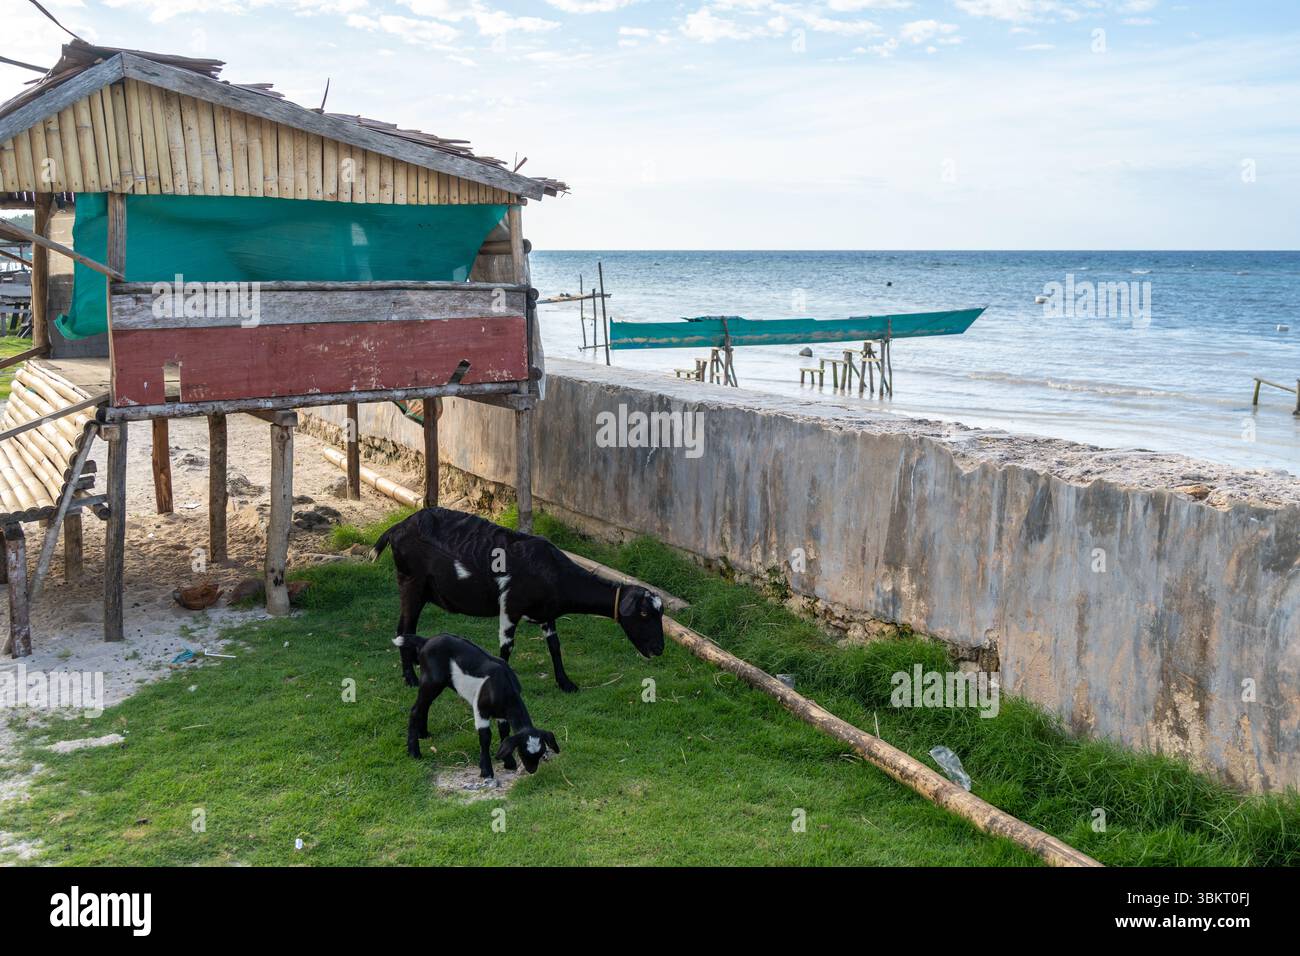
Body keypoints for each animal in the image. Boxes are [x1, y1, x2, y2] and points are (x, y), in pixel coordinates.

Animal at [371, 508, 665, 693]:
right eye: (643, 614)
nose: (659, 649)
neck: (555, 573)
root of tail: (397, 527)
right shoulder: (509, 607)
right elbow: (505, 650)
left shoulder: (547, 613)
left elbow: (555, 646)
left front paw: (566, 683)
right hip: (411, 583)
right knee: (403, 627)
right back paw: (410, 678)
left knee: (407, 627)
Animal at [397, 633, 559, 783]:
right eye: (523, 752)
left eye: (541, 752)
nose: (532, 770)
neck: (503, 687)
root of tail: (426, 641)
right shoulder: (481, 710)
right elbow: (485, 737)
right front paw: (486, 771)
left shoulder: (502, 714)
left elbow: (504, 733)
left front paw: (509, 763)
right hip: (431, 681)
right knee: (415, 710)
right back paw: (414, 753)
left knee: (425, 707)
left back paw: (423, 734)